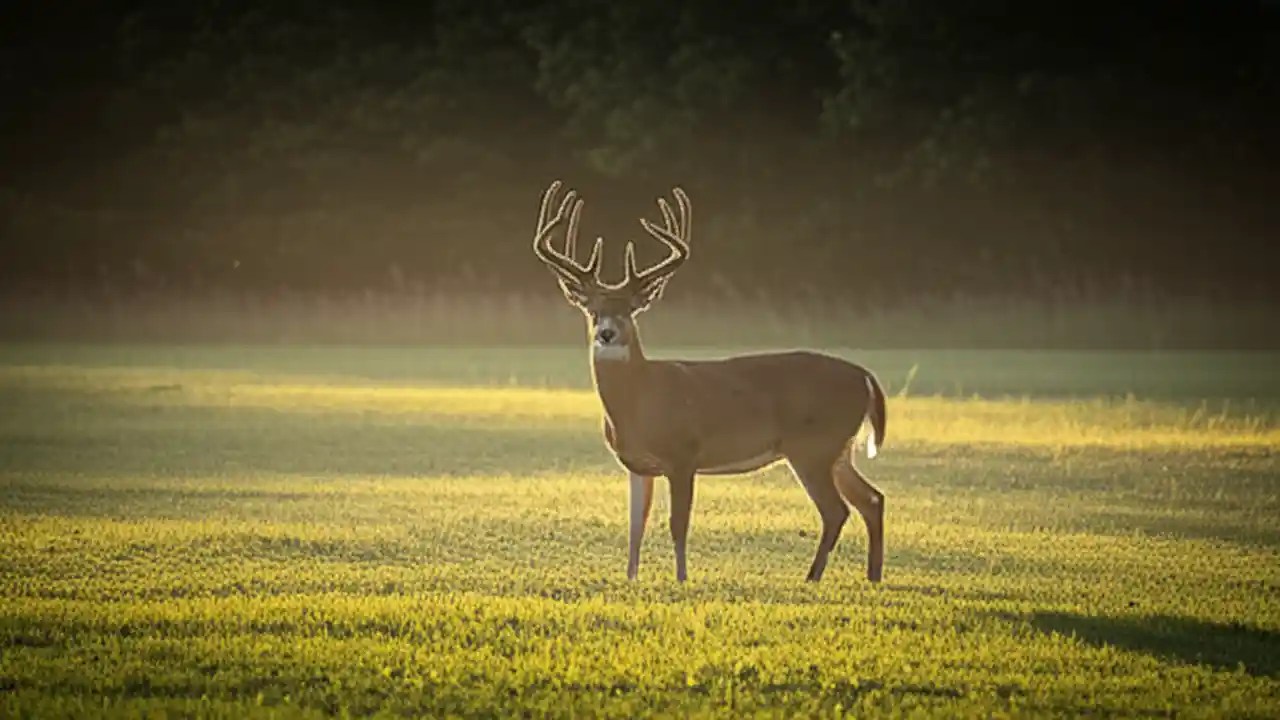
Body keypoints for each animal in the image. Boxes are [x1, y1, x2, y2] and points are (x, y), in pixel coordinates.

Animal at [530, 179, 888, 583]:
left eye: (630, 310)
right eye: (592, 311)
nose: (606, 333)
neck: (640, 400)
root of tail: (865, 377)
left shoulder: (684, 454)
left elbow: (678, 524)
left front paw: (682, 578)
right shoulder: (636, 465)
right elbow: (636, 526)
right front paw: (631, 578)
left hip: (813, 446)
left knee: (836, 510)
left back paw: (813, 577)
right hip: (838, 449)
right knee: (872, 499)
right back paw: (872, 576)